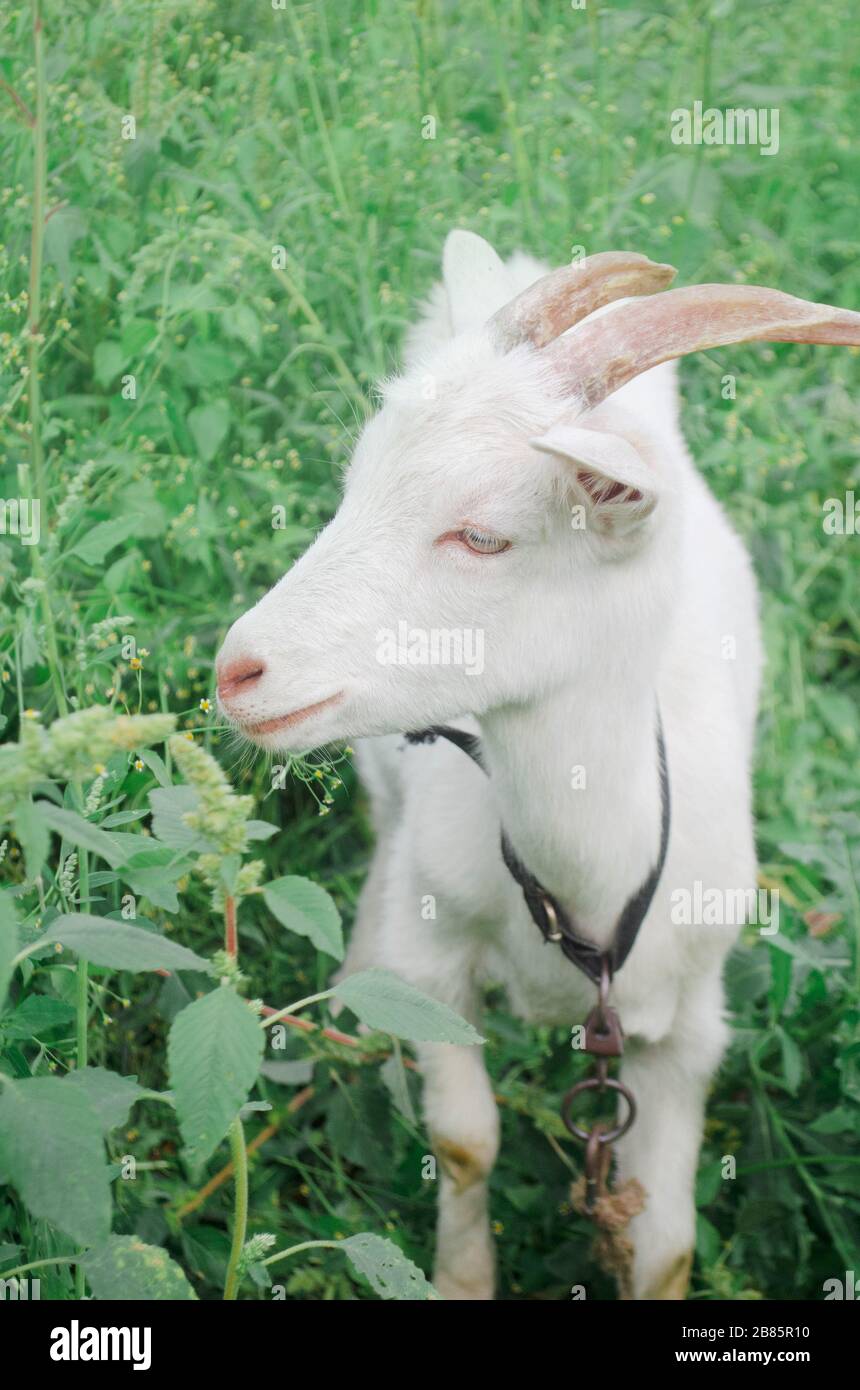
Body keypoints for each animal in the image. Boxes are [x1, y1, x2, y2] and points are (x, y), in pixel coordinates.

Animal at [216, 232, 860, 1299]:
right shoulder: (436, 960)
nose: (239, 670)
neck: (583, 892)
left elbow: (666, 1243)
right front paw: (461, 1277)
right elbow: (465, 1140)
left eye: (483, 535)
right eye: (353, 488)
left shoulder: (690, 1029)